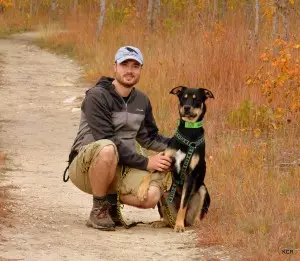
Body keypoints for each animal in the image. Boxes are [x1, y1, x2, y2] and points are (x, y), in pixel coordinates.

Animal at [137, 85, 214, 232]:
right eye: (183, 97)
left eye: (196, 99)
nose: (187, 108)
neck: (188, 131)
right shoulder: (165, 162)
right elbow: (149, 174)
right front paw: (142, 190)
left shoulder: (190, 174)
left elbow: (183, 205)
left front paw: (179, 226)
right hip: (164, 194)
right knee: (167, 218)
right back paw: (161, 222)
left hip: (202, 190)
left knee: (194, 215)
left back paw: (189, 223)